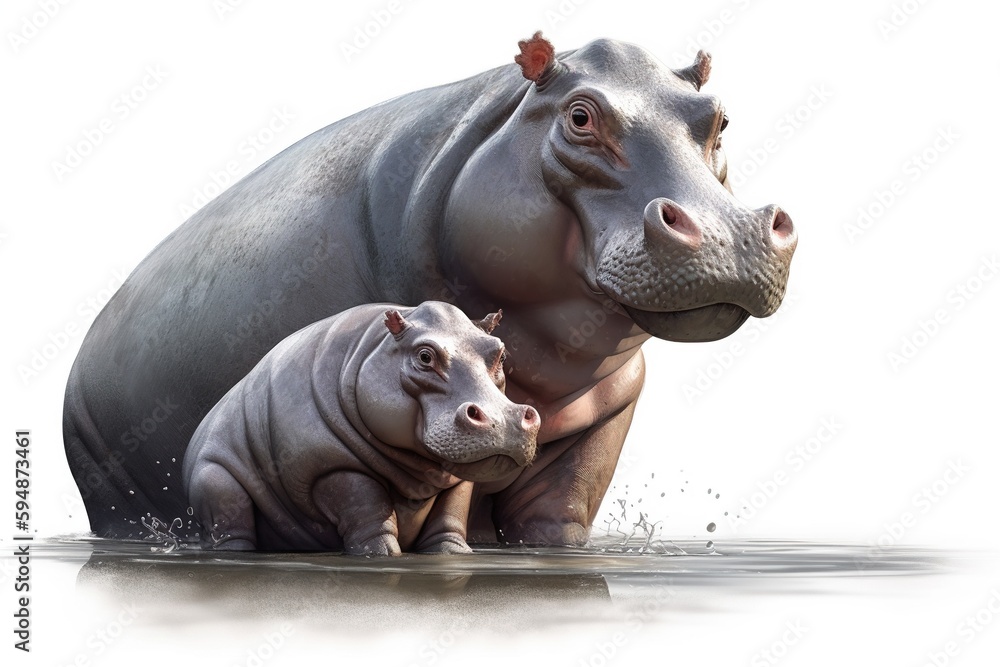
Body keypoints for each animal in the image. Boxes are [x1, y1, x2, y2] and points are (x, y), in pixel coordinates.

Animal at [182, 302, 537, 554]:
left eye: (500, 352)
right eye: (424, 356)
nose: (503, 419)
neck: (374, 347)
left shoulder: (459, 476)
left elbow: (451, 515)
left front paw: (455, 554)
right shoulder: (331, 466)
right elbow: (366, 507)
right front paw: (382, 554)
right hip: (213, 477)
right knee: (231, 523)